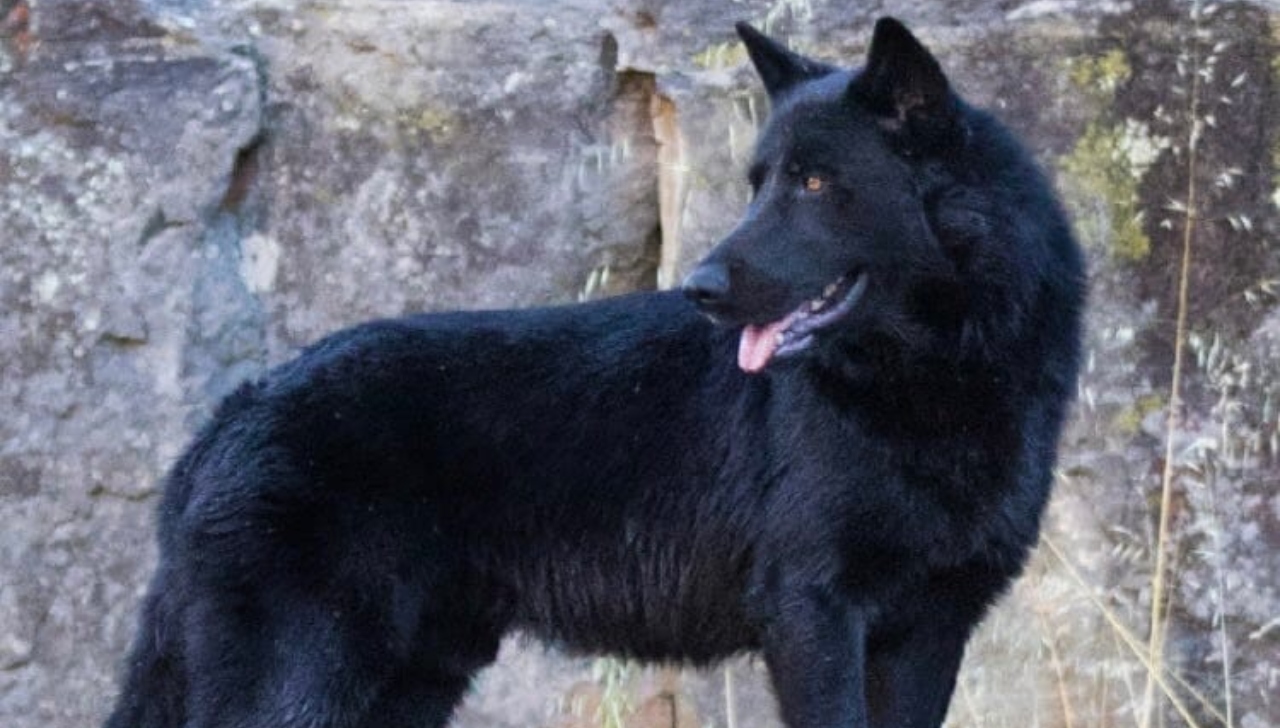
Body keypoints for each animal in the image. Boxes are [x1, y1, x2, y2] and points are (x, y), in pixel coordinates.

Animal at [104, 17, 1084, 728]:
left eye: (815, 184)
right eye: (760, 181)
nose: (700, 289)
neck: (935, 382)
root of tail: (231, 414)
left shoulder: (930, 630)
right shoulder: (816, 615)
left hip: (406, 683)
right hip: (306, 683)